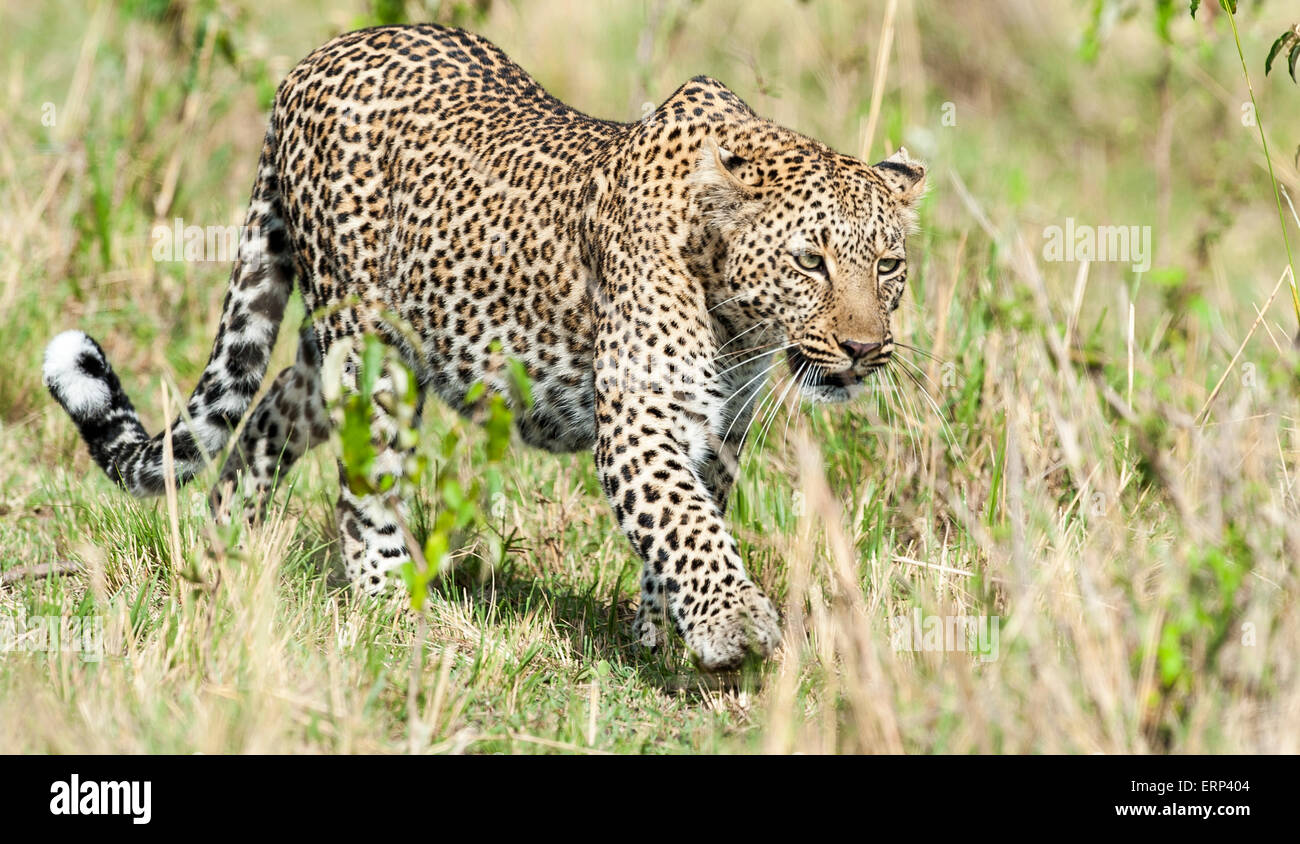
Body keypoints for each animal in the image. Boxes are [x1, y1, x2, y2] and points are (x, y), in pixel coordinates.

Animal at [42, 24, 926, 671]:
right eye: (809, 261)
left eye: (888, 265)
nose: (863, 349)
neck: (736, 312)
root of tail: (312, 62)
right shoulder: (639, 418)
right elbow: (685, 524)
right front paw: (735, 627)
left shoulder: (717, 432)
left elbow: (682, 525)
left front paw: (661, 635)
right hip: (371, 354)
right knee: (362, 484)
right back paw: (391, 605)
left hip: (351, 347)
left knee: (268, 416)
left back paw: (229, 551)